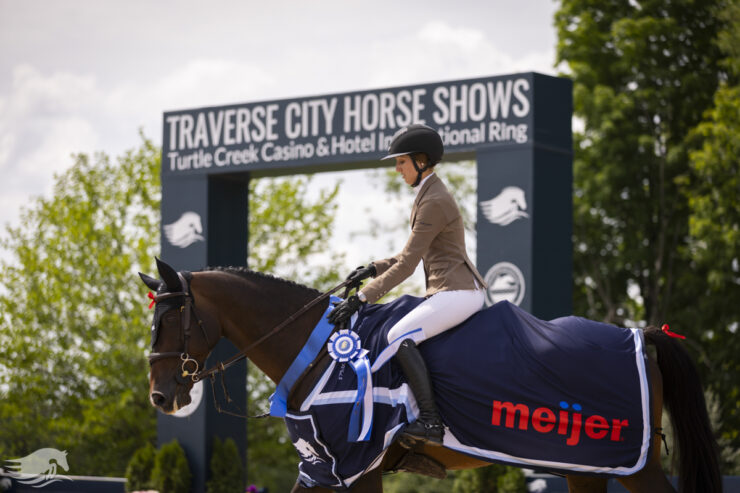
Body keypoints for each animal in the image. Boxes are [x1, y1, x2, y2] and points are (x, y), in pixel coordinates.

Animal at [139, 258, 722, 493]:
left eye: (170, 319)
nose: (161, 398)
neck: (317, 345)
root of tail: (644, 335)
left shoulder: (358, 465)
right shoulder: (322, 467)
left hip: (636, 468)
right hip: (588, 470)